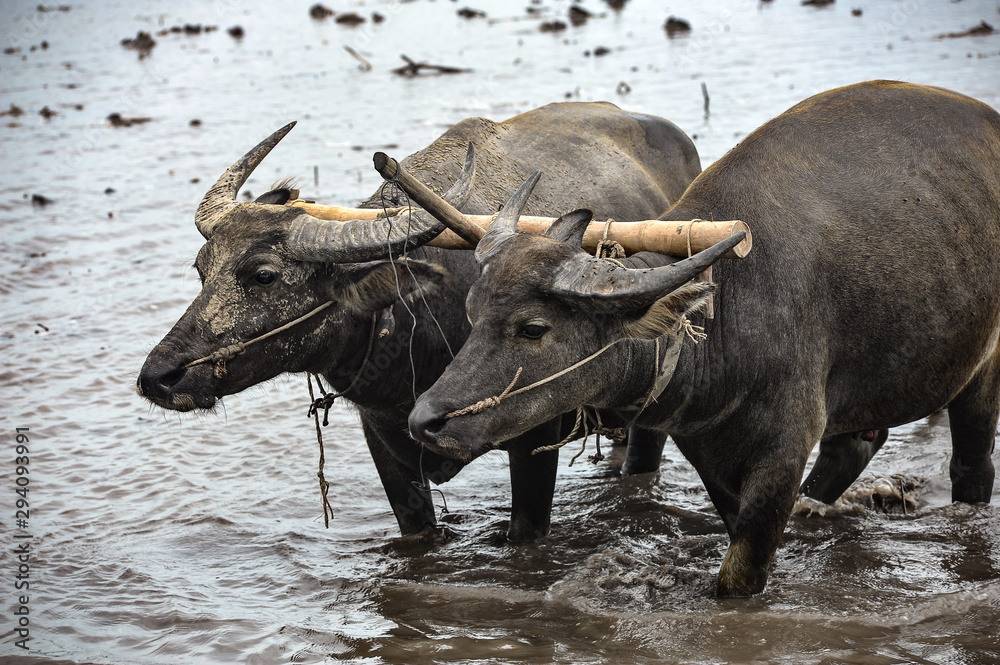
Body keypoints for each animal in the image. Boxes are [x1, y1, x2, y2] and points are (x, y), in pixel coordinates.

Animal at [408, 81, 1000, 594]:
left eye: (533, 328)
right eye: (472, 311)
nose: (423, 422)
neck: (722, 317)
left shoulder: (782, 454)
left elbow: (737, 577)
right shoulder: (709, 455)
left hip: (983, 374)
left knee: (972, 467)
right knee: (857, 441)